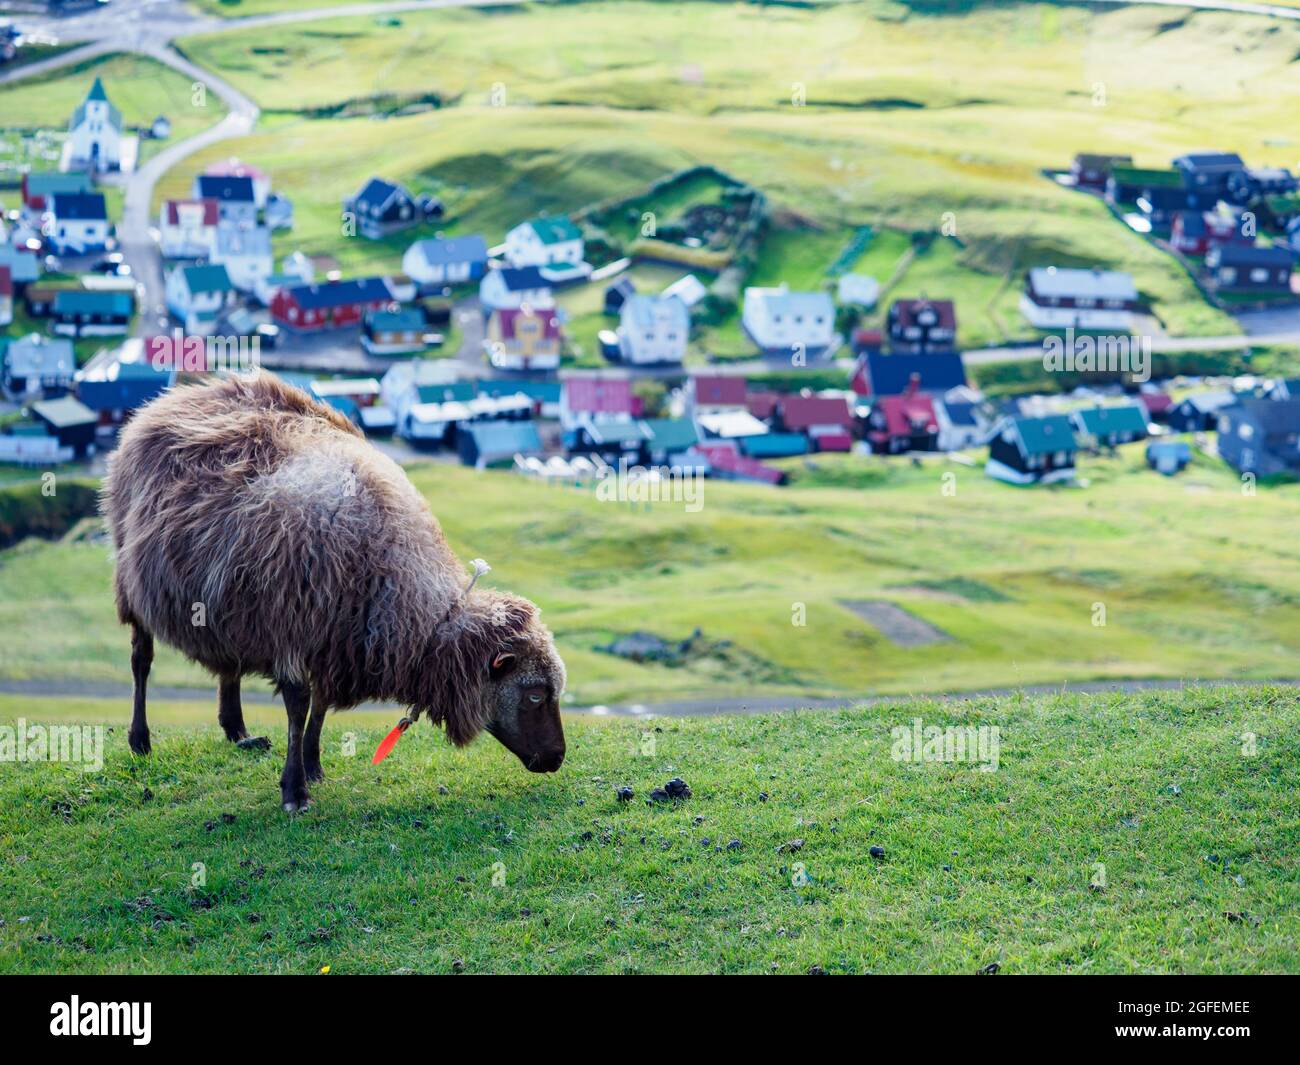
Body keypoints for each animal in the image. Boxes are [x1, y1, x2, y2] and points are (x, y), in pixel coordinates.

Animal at [101, 372, 566, 810]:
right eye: (535, 694)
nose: (558, 758)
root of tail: (174, 398)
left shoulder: (336, 639)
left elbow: (321, 705)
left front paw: (312, 763)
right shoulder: (294, 631)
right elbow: (299, 706)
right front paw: (295, 789)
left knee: (227, 665)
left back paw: (237, 730)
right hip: (132, 579)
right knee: (141, 659)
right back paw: (140, 739)